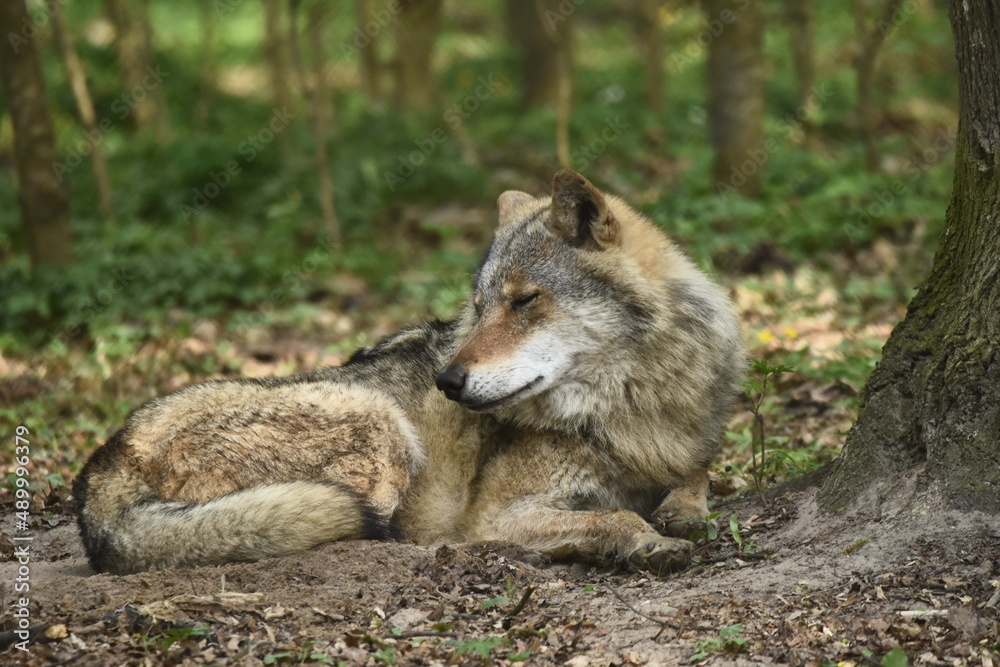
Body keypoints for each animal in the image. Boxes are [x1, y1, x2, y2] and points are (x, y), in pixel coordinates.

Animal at [74, 170, 745, 576]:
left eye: (523, 301)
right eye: (479, 305)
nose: (447, 383)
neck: (632, 409)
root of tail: (109, 456)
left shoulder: (685, 452)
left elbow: (695, 480)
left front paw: (679, 509)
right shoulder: (500, 511)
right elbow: (613, 515)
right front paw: (647, 539)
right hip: (381, 430)